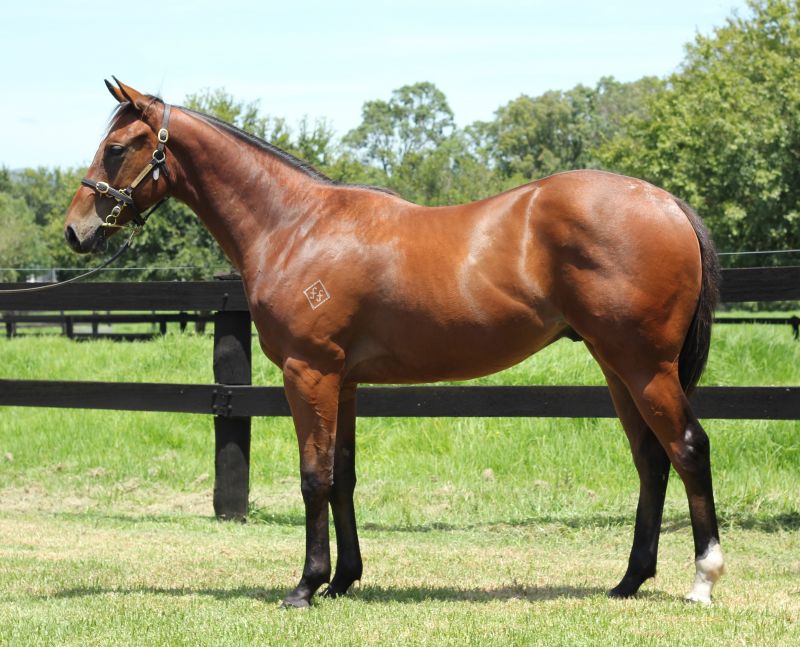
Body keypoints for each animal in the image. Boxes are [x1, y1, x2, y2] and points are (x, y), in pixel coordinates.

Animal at [64, 79, 724, 607]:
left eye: (117, 148)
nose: (75, 230)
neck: (294, 225)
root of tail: (665, 202)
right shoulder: (344, 382)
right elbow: (343, 476)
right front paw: (343, 580)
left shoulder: (308, 373)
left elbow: (314, 477)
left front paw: (306, 586)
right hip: (616, 366)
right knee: (651, 459)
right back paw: (629, 581)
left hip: (643, 366)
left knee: (688, 448)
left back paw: (703, 580)